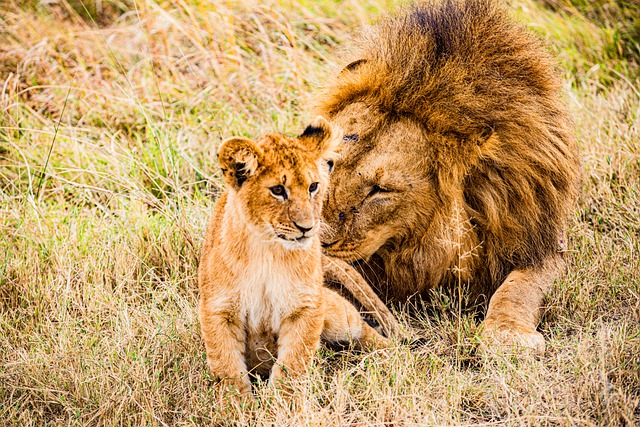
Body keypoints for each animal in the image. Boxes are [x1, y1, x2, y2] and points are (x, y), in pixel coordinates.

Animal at [197, 116, 388, 398]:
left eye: (313, 186)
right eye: (278, 190)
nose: (307, 227)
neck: (267, 249)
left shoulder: (305, 306)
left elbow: (292, 367)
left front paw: (282, 404)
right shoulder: (219, 310)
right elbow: (228, 370)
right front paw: (238, 406)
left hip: (335, 313)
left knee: (361, 328)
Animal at [316, 0, 580, 354]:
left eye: (380, 190)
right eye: (328, 164)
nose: (316, 238)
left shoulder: (543, 242)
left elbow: (518, 288)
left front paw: (507, 334)